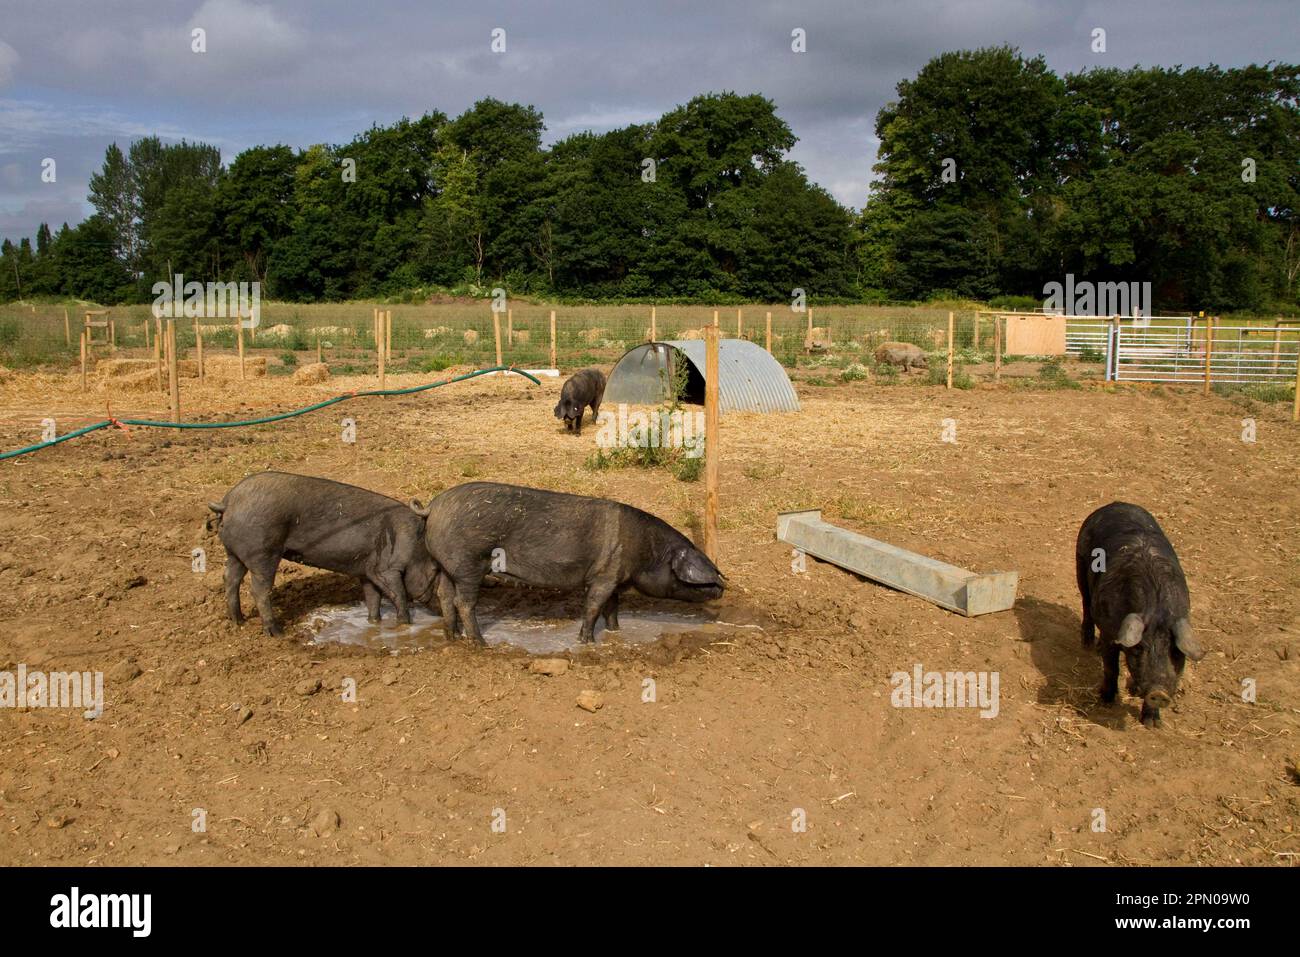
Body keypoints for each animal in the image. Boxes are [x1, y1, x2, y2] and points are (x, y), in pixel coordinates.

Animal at [207, 471, 439, 637]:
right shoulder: (386, 569)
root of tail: (228, 502)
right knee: (259, 589)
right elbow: (399, 596)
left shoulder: (368, 571)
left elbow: (373, 599)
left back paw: (238, 621)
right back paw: (276, 633)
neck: (416, 549)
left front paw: (374, 623)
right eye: (438, 574)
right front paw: (405, 625)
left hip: (234, 553)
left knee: (230, 579)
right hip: (263, 552)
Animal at [410, 482, 724, 644]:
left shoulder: (613, 578)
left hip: (447, 565)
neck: (644, 551)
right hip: (469, 564)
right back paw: (481, 643)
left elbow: (612, 606)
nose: (723, 587)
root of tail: (432, 507)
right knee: (463, 601)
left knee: (445, 596)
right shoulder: (603, 576)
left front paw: (616, 632)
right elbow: (594, 606)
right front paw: (587, 642)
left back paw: (452, 637)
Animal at [1075, 502, 1205, 728]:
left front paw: (1153, 724)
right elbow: (1111, 668)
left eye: (1176, 652)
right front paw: (1106, 700)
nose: (1159, 692)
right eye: (1139, 648)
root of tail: (1116, 503)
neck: (1157, 611)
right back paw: (1088, 644)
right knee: (1086, 604)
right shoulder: (1110, 633)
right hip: (1080, 563)